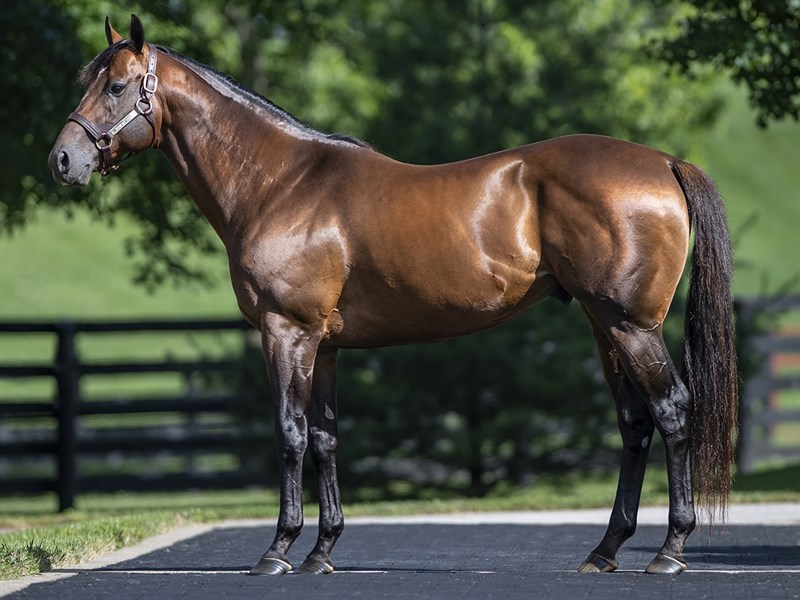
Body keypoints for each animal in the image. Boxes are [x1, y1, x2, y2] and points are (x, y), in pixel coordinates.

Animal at [49, 15, 738, 576]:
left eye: (116, 86)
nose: (62, 160)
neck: (279, 184)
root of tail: (664, 162)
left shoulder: (286, 332)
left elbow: (290, 433)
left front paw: (277, 550)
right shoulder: (323, 344)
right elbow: (325, 437)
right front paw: (322, 552)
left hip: (631, 326)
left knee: (673, 412)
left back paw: (670, 551)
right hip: (604, 326)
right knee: (635, 424)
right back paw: (605, 551)